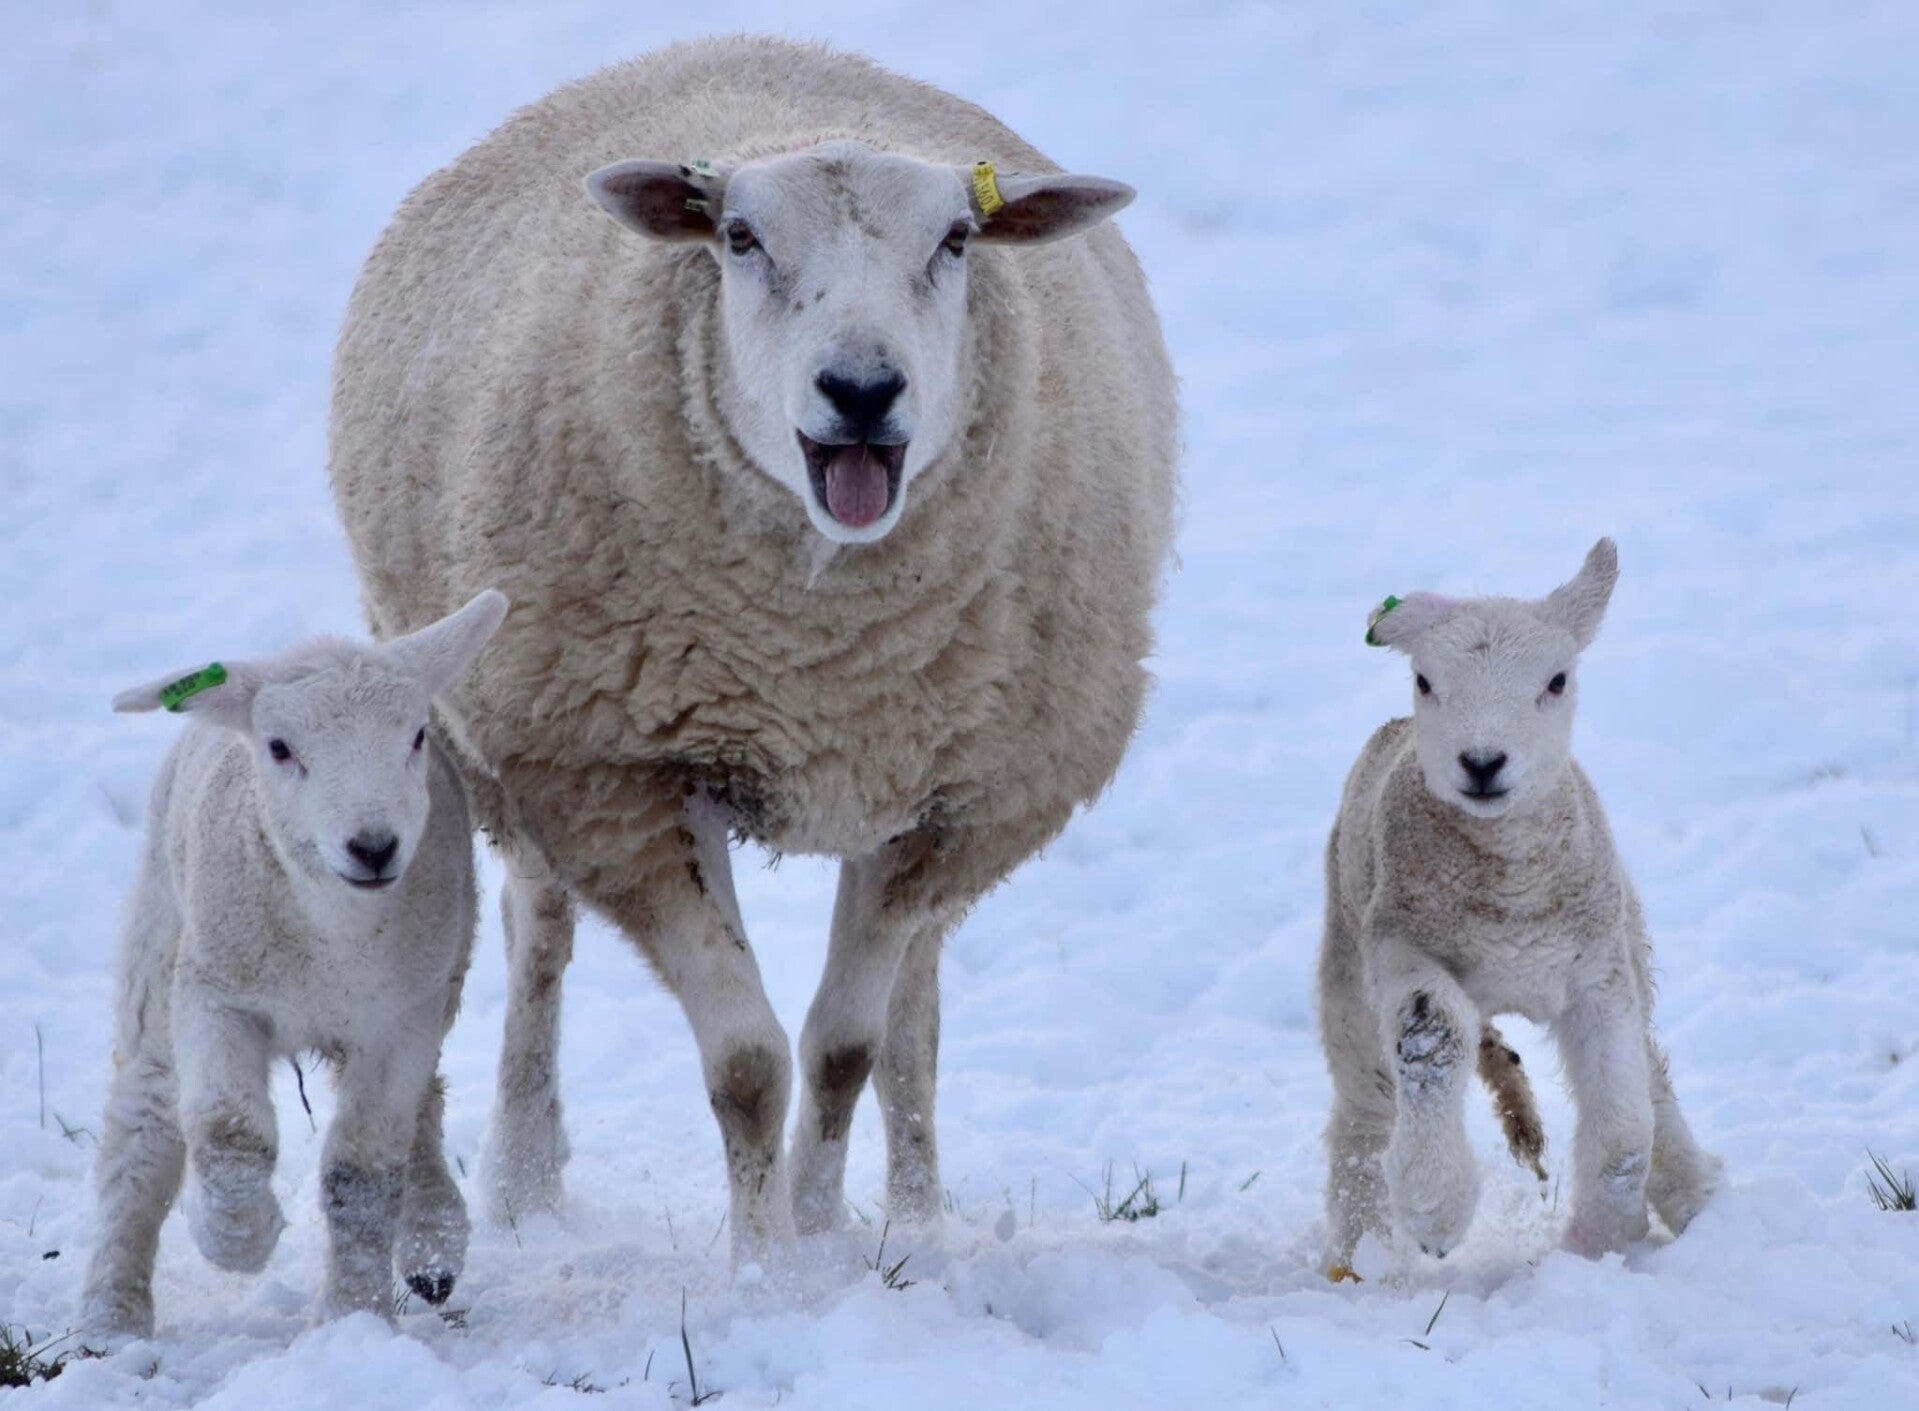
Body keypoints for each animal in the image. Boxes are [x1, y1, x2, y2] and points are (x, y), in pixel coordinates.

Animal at [79, 591, 508, 1338]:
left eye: (417, 736)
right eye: (280, 748)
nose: (373, 846)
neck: (333, 936)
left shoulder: (400, 1017)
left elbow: (361, 1171)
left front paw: (352, 1317)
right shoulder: (215, 994)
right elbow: (229, 1131)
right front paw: (236, 1238)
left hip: (438, 978)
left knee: (423, 1106)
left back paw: (431, 1245)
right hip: (161, 943)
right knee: (145, 1123)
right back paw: (111, 1320)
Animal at [327, 36, 1178, 1264]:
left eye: (955, 240)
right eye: (738, 238)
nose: (862, 390)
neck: (826, 664)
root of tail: (747, 43)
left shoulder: (945, 798)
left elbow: (844, 1047)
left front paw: (828, 1241)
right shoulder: (626, 784)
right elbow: (745, 1062)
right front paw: (766, 1264)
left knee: (914, 998)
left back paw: (918, 1210)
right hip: (498, 743)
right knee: (537, 936)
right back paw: (522, 1182)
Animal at [1318, 540, 1720, 1276]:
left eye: (1557, 680)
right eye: (1423, 680)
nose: (1481, 761)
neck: (1509, 897)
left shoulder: (1596, 970)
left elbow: (1625, 1122)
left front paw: (1602, 1239)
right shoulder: (1400, 944)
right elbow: (1432, 1030)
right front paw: (1434, 1207)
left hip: (1626, 930)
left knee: (1651, 1073)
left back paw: (1695, 1196)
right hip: (1345, 947)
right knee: (1365, 1106)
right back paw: (1361, 1255)